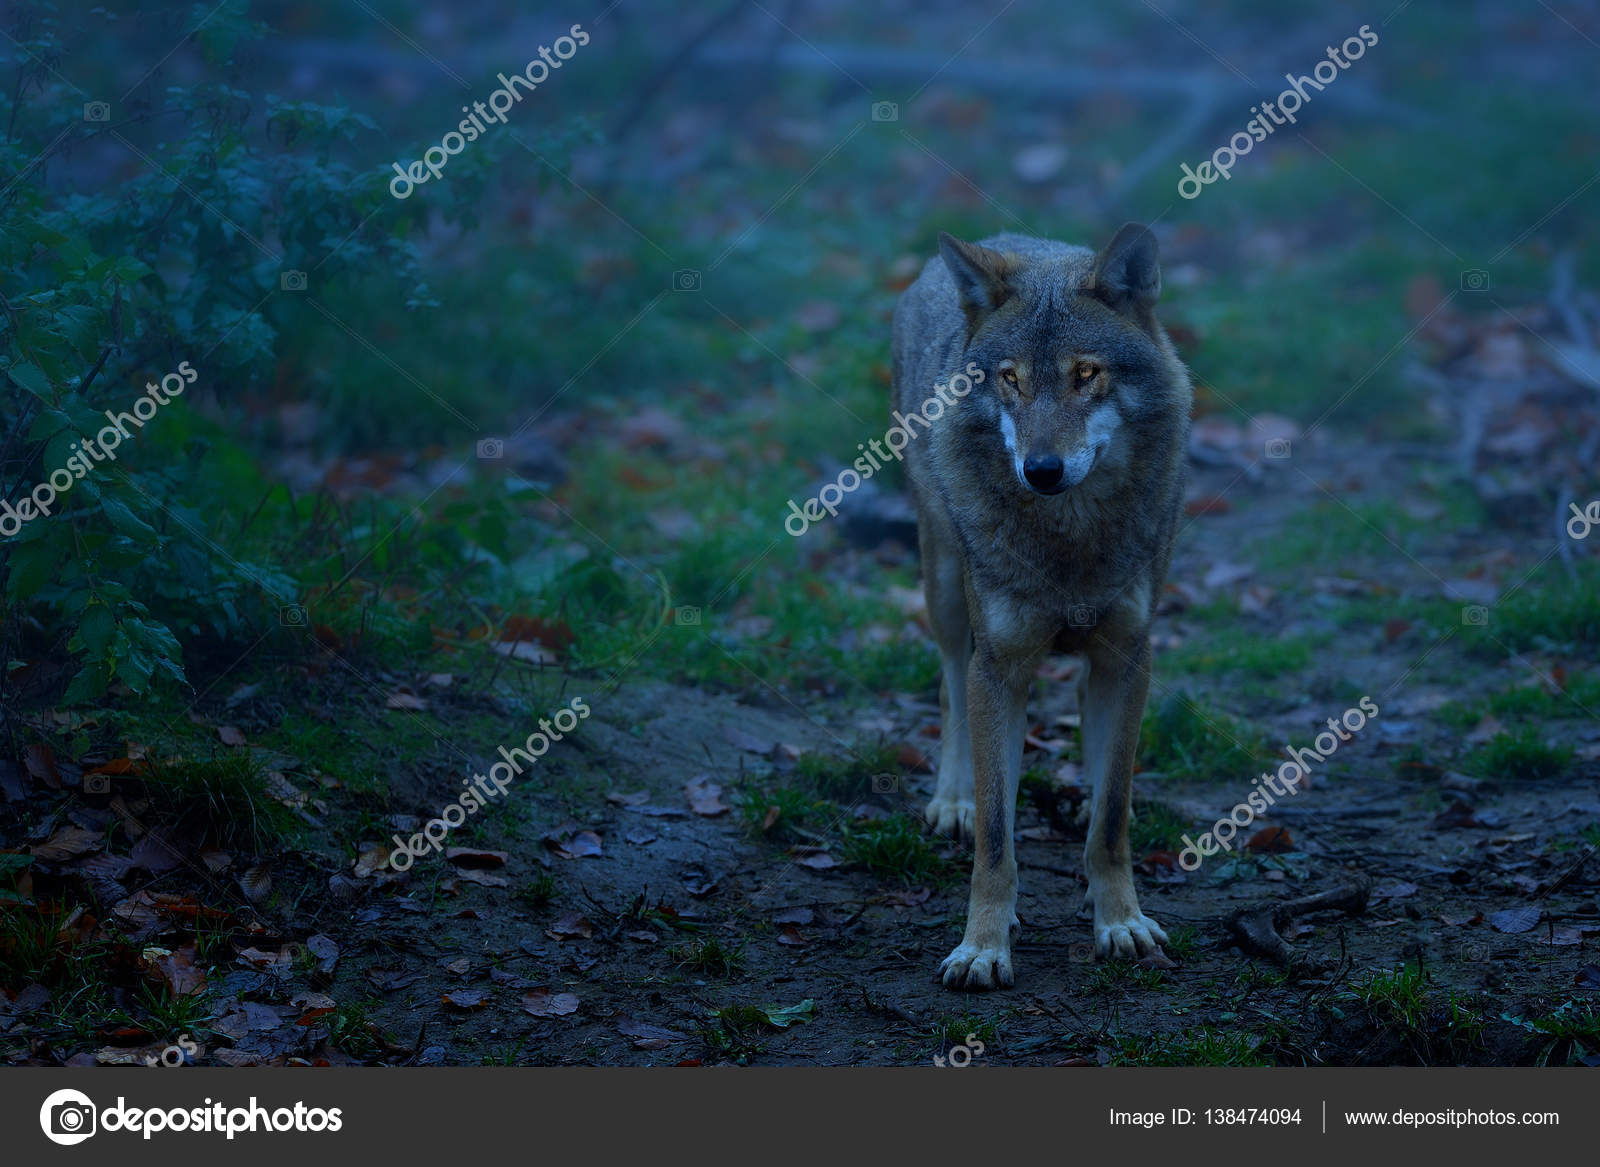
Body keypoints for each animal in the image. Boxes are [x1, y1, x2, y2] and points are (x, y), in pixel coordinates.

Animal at [890, 224, 1192, 990]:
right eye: (1012, 379)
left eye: (1087, 375)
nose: (1043, 470)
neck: (1070, 544)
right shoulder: (1000, 668)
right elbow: (998, 840)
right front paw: (982, 947)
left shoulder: (1128, 657)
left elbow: (1112, 816)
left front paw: (1119, 921)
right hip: (946, 592)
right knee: (949, 687)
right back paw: (954, 801)